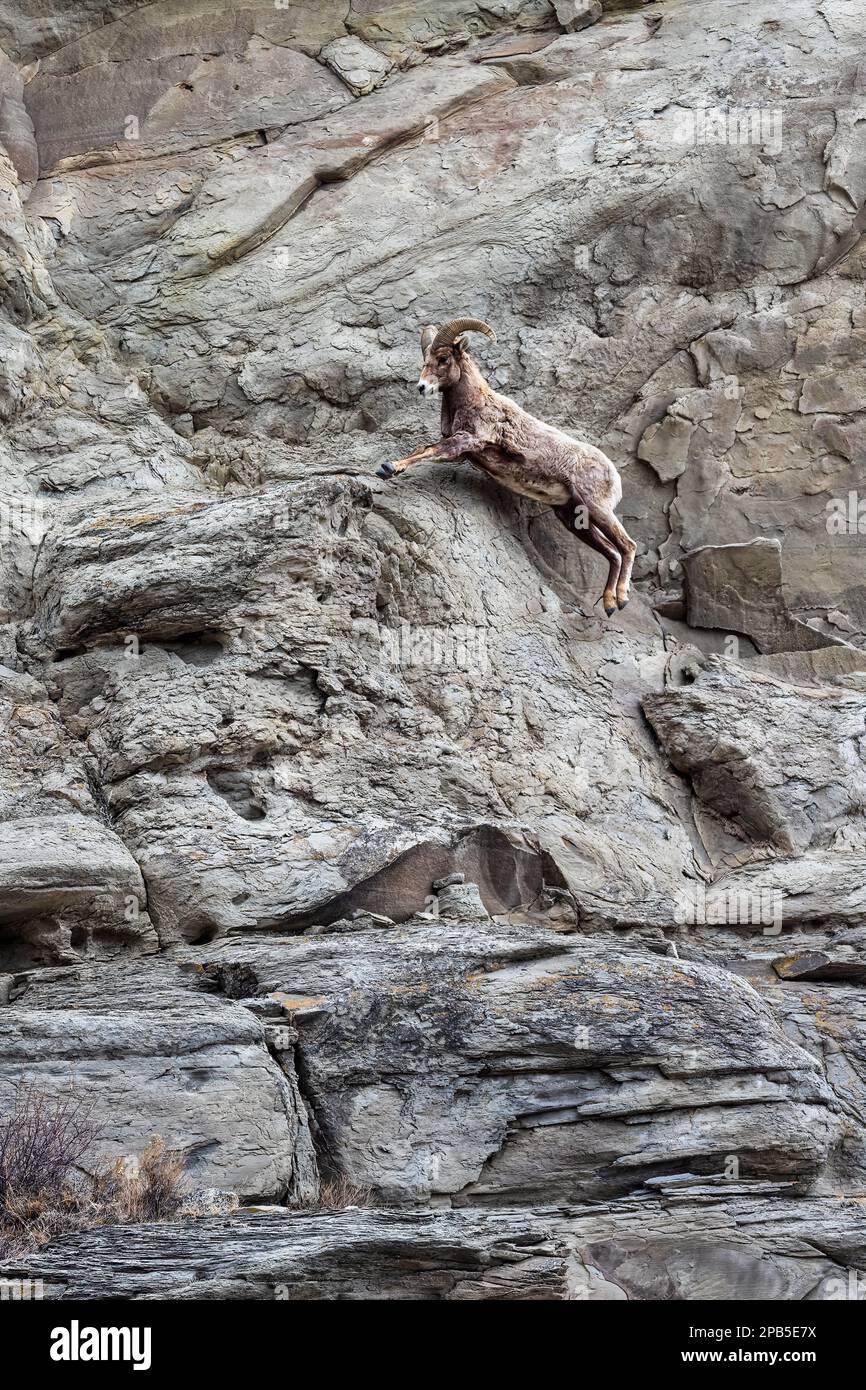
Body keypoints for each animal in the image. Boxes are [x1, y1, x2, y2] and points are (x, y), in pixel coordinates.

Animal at [376, 317, 637, 616]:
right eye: (426, 359)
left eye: (443, 358)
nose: (422, 387)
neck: (473, 400)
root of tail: (614, 477)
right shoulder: (460, 450)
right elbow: (426, 450)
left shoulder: (467, 440)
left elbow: (426, 450)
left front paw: (388, 468)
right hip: (572, 517)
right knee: (613, 553)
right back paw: (610, 604)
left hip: (596, 507)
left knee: (627, 546)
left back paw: (622, 598)